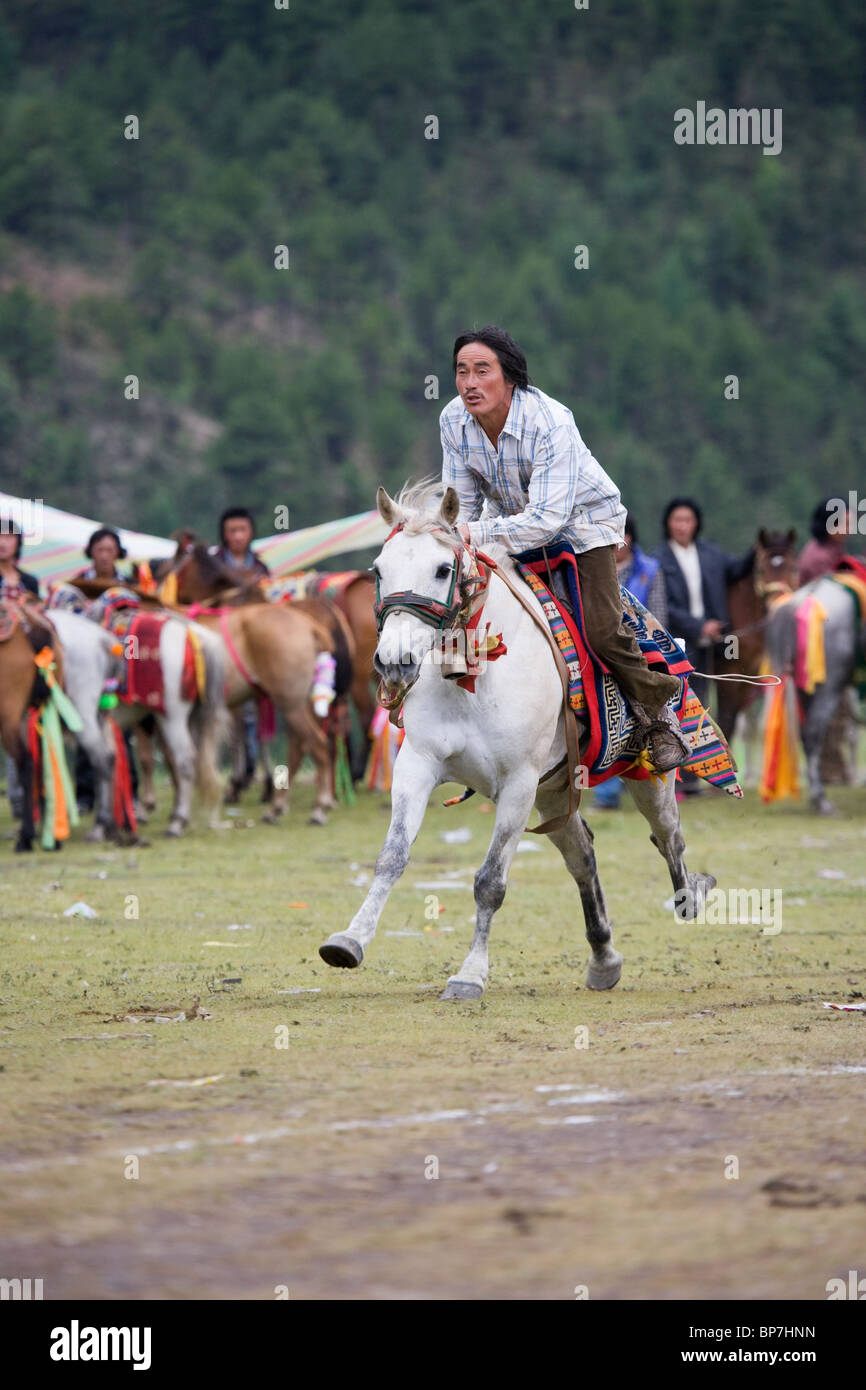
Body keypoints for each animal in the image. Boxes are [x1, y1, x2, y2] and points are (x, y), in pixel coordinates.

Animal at [318, 482, 718, 1000]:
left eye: (442, 569)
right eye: (378, 569)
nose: (394, 660)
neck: (471, 676)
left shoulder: (518, 784)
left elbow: (490, 881)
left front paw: (469, 974)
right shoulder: (417, 766)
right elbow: (392, 857)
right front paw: (349, 940)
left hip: (645, 779)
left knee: (669, 836)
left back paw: (693, 895)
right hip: (555, 791)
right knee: (582, 856)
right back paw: (604, 958)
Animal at [718, 528, 798, 783]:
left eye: (792, 566)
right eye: (762, 569)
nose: (776, 605)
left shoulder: (755, 675)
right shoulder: (727, 673)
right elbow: (727, 720)